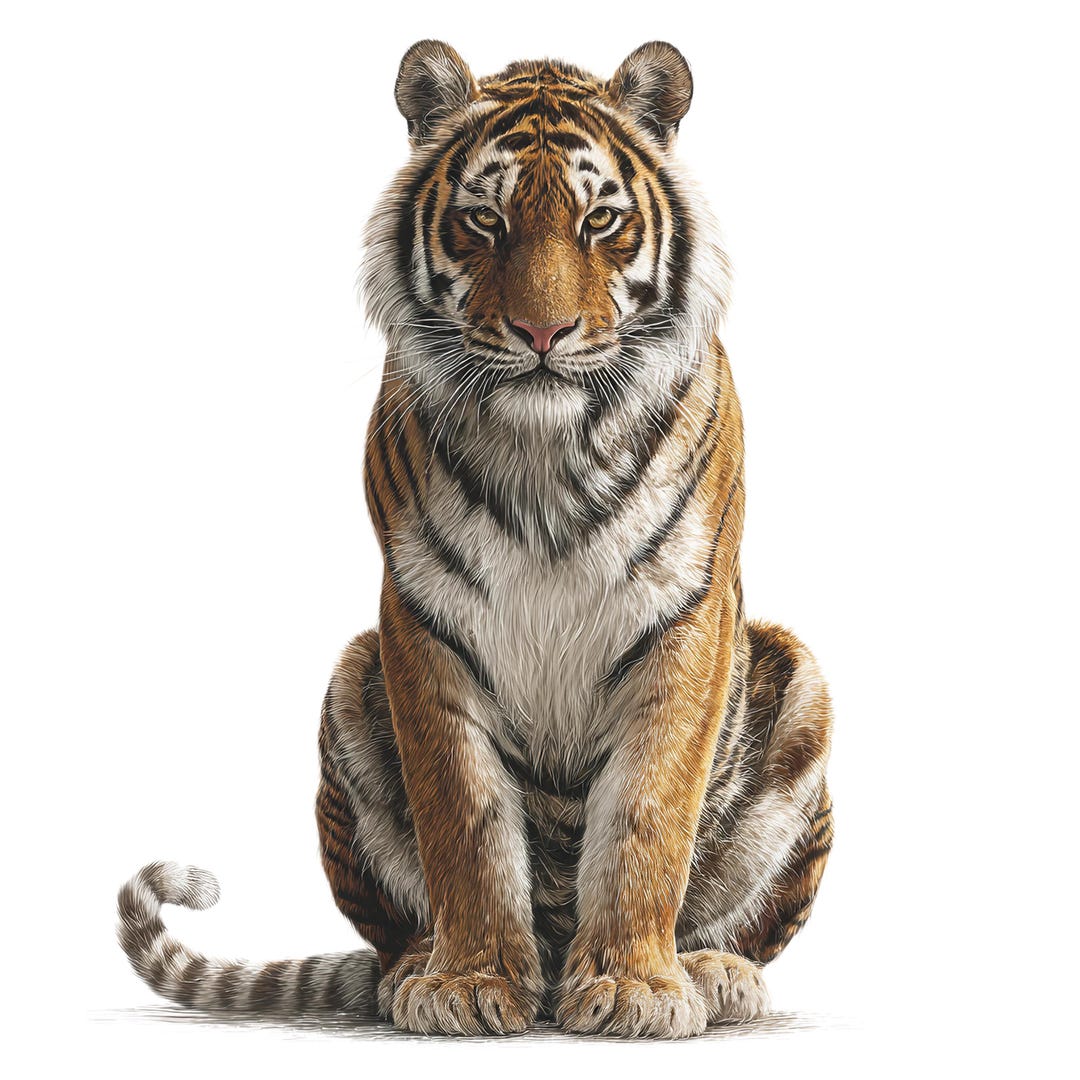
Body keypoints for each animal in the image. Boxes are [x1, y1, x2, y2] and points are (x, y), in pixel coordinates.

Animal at [117, 40, 834, 1039]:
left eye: (600, 219)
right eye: (484, 220)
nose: (543, 331)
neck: (548, 453)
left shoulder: (686, 622)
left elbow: (648, 817)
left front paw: (636, 988)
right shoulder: (424, 621)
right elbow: (464, 820)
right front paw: (468, 983)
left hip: (799, 680)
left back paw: (713, 971)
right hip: (351, 680)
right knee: (391, 929)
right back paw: (413, 971)